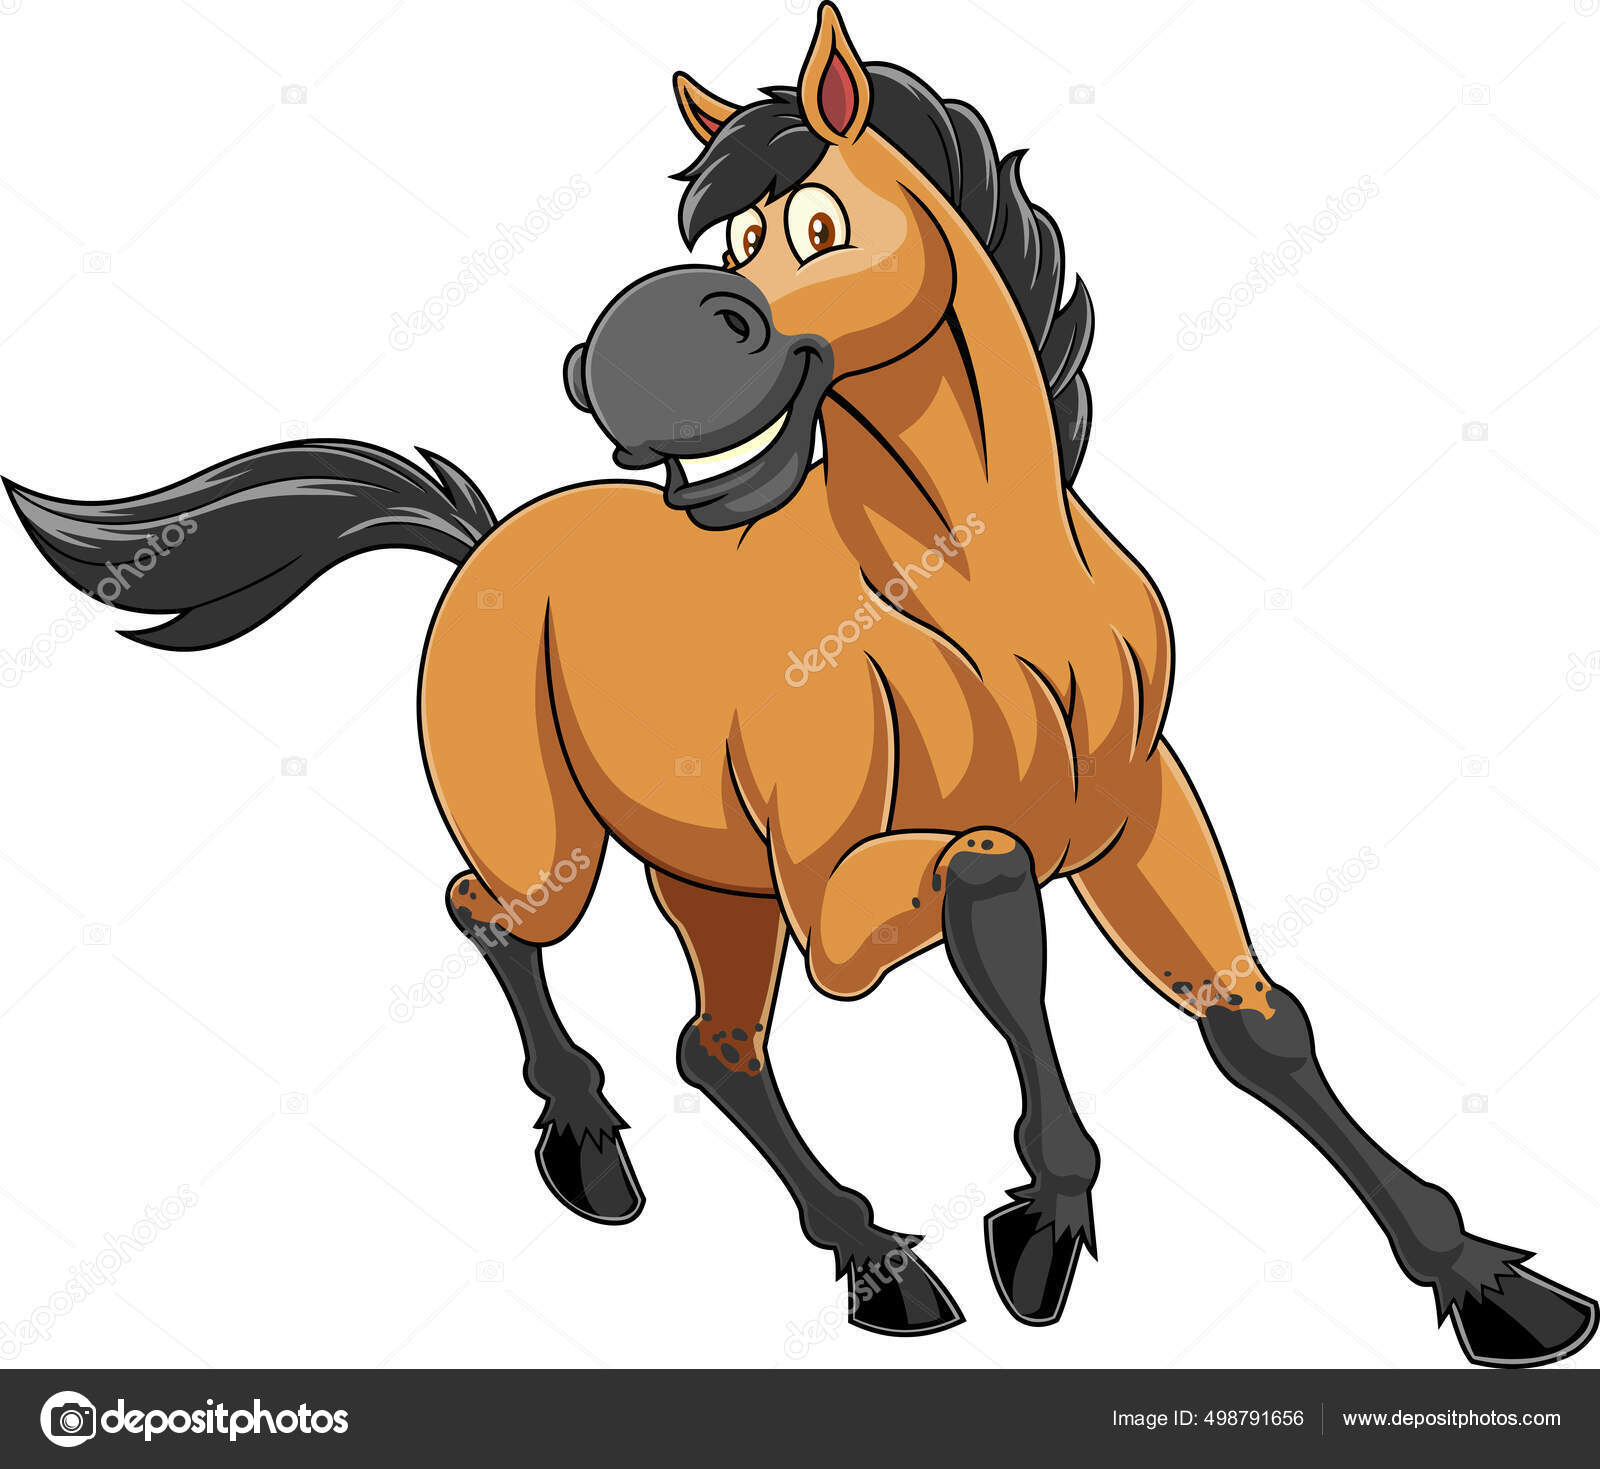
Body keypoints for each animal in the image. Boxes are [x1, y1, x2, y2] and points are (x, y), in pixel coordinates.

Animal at [9, 4, 1595, 1364]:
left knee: (715, 1047)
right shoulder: (844, 899)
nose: (622, 359)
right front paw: (1046, 1223)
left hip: (708, 881)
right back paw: (600, 1154)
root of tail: (491, 538)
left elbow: (1255, 1024)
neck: (986, 600)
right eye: (739, 231)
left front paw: (1488, 1286)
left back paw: (872, 1263)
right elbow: (994, 899)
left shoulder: (1139, 817)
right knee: (492, 916)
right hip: (560, 853)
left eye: (816, 224)